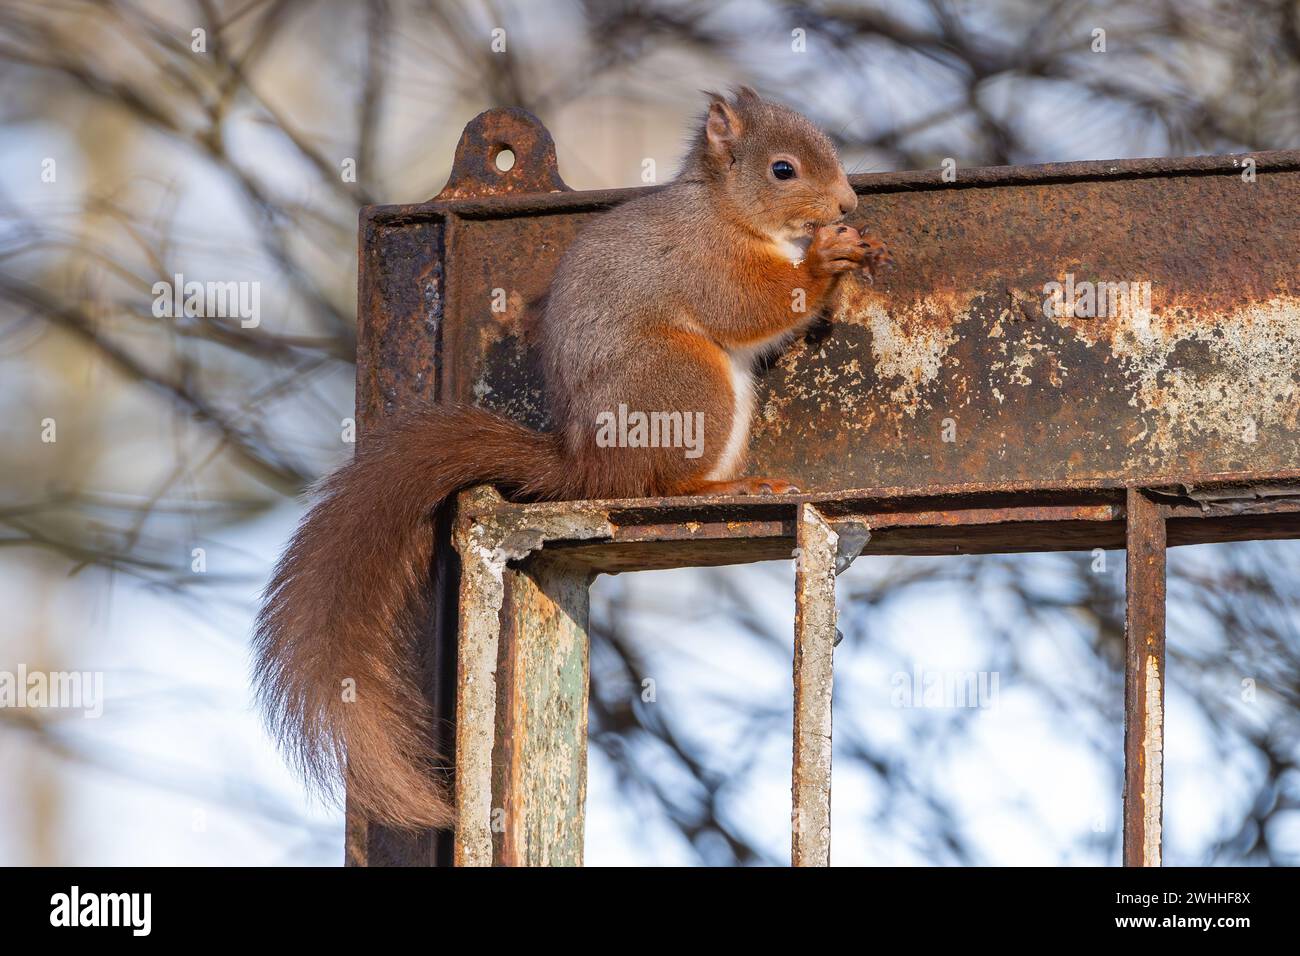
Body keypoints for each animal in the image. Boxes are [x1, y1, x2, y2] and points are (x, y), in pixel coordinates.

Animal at [253, 87, 890, 831]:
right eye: (783, 169)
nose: (847, 203)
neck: (725, 211)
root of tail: (587, 464)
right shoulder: (702, 260)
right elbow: (748, 306)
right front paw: (823, 263)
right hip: (684, 382)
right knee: (658, 484)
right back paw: (724, 486)